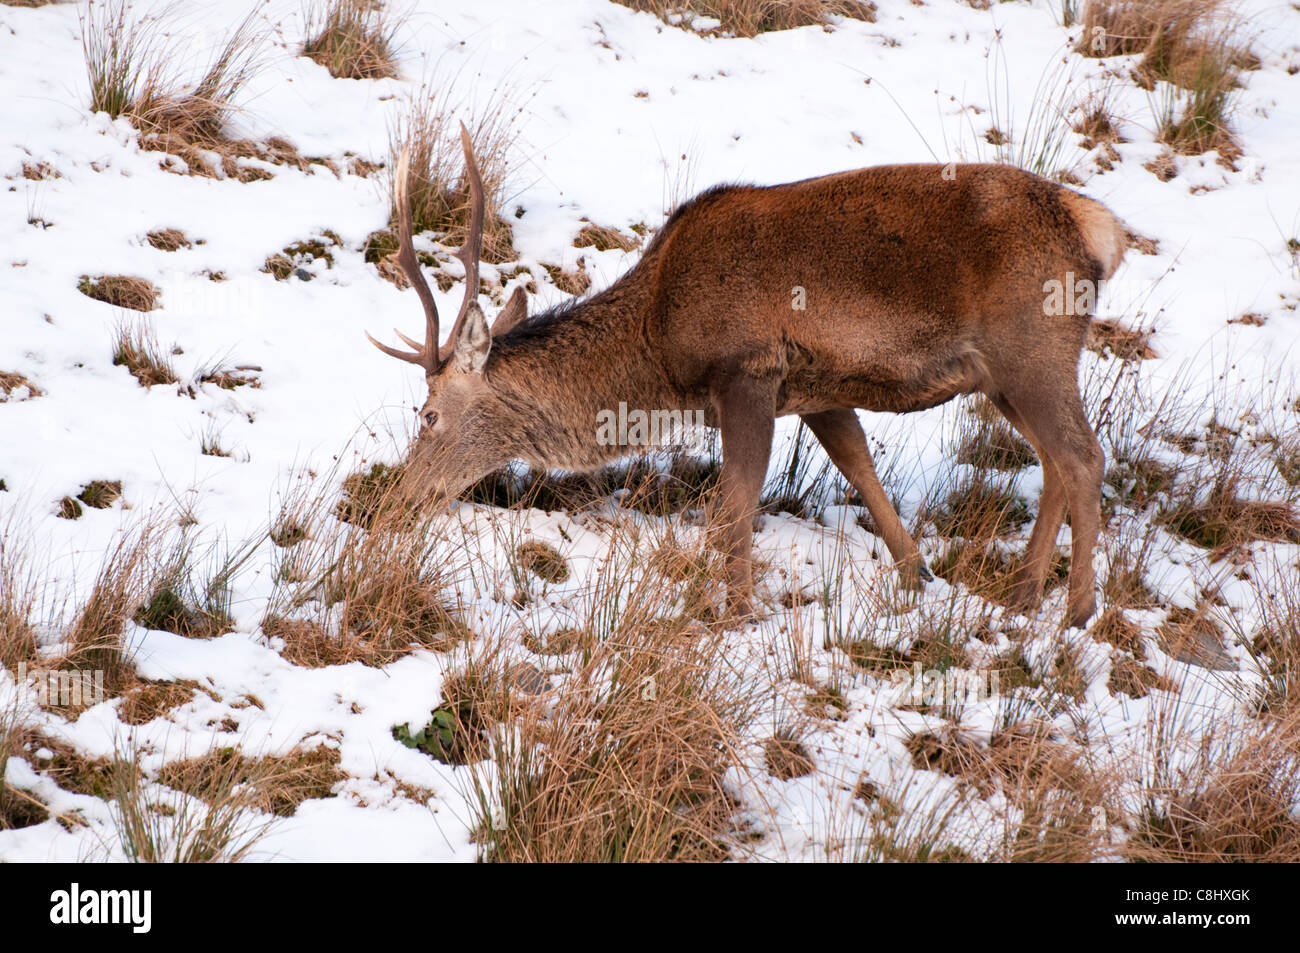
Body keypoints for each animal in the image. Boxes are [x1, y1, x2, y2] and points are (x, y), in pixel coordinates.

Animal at [368, 124, 1127, 629]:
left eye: (428, 416)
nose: (395, 503)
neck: (659, 351)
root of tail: (1100, 231)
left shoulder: (748, 372)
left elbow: (733, 507)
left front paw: (733, 613)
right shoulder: (818, 390)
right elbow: (858, 466)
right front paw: (915, 571)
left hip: (1032, 347)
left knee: (1083, 457)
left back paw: (1077, 610)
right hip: (1004, 375)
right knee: (1054, 462)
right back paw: (1023, 594)